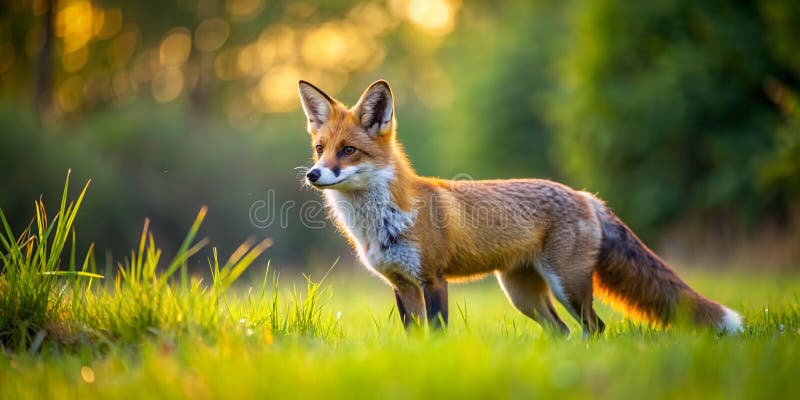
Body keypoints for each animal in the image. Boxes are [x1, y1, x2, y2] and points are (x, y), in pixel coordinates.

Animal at [297, 79, 743, 336]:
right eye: (320, 149)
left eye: (348, 151)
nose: (314, 175)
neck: (381, 222)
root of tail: (585, 195)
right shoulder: (401, 285)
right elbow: (415, 338)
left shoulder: (433, 279)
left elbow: (438, 335)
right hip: (523, 296)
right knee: (564, 332)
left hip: (568, 287)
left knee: (596, 328)